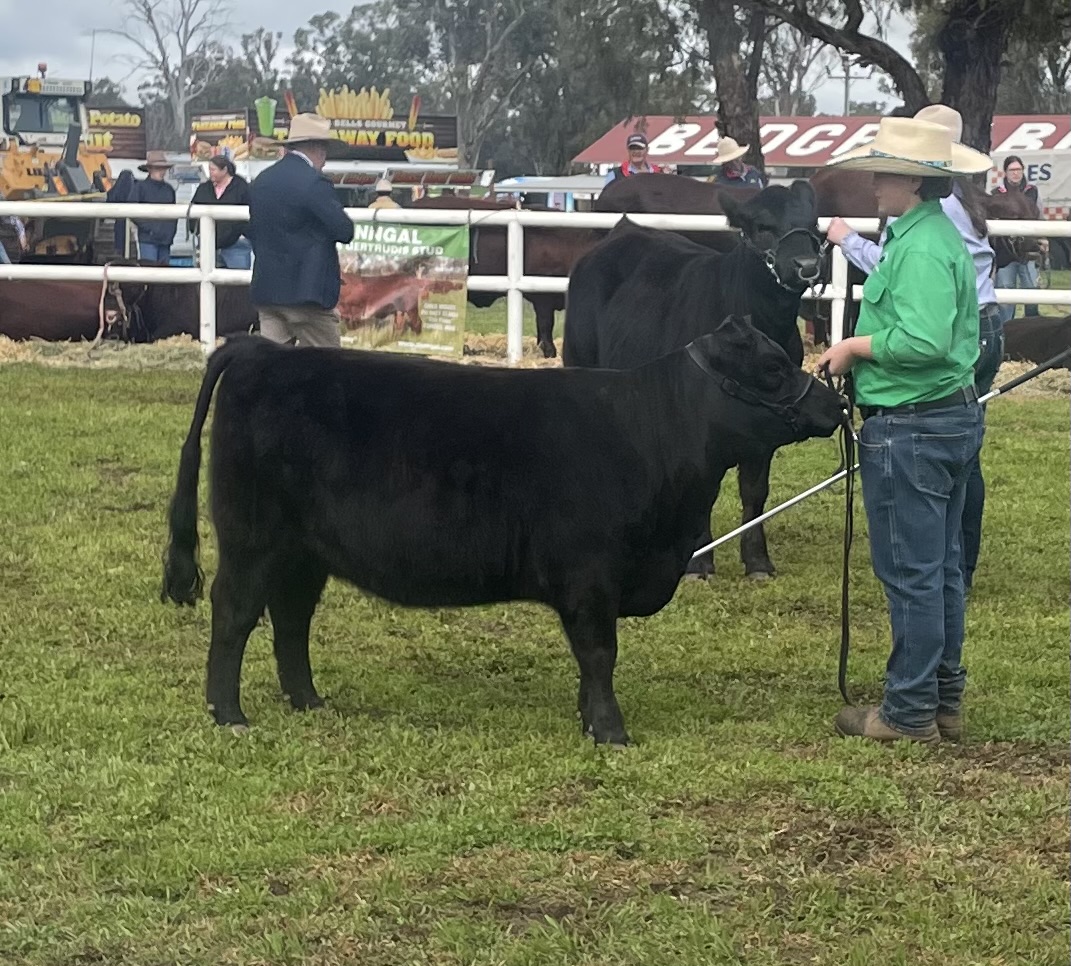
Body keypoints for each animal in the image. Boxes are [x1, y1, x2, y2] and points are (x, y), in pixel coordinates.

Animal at [160, 319, 845, 744]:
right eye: (772, 367)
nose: (835, 404)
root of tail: (264, 354)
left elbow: (590, 658)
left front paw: (586, 718)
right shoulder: (591, 575)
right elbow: (600, 652)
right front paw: (611, 731)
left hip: (304, 550)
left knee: (291, 616)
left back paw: (309, 701)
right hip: (252, 537)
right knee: (235, 612)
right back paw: (229, 713)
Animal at [564, 181, 825, 580]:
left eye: (812, 224)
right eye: (762, 226)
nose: (807, 267)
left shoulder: (771, 421)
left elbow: (755, 490)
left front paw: (757, 561)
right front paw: (699, 563)